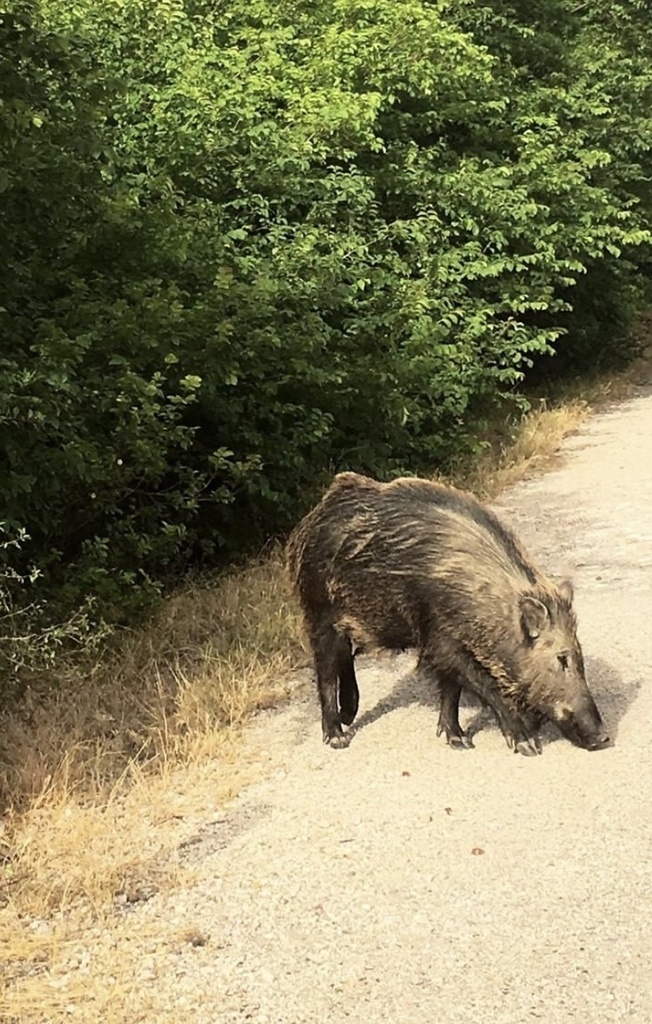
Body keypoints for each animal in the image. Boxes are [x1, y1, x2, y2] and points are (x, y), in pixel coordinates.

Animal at [286, 472, 609, 755]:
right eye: (561, 658)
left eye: (580, 653)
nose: (603, 737)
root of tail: (308, 523)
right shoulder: (438, 638)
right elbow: (484, 685)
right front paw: (527, 746)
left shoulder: (447, 641)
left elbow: (451, 691)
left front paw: (458, 741)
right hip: (318, 612)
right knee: (326, 672)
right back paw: (337, 738)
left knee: (346, 658)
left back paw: (348, 716)